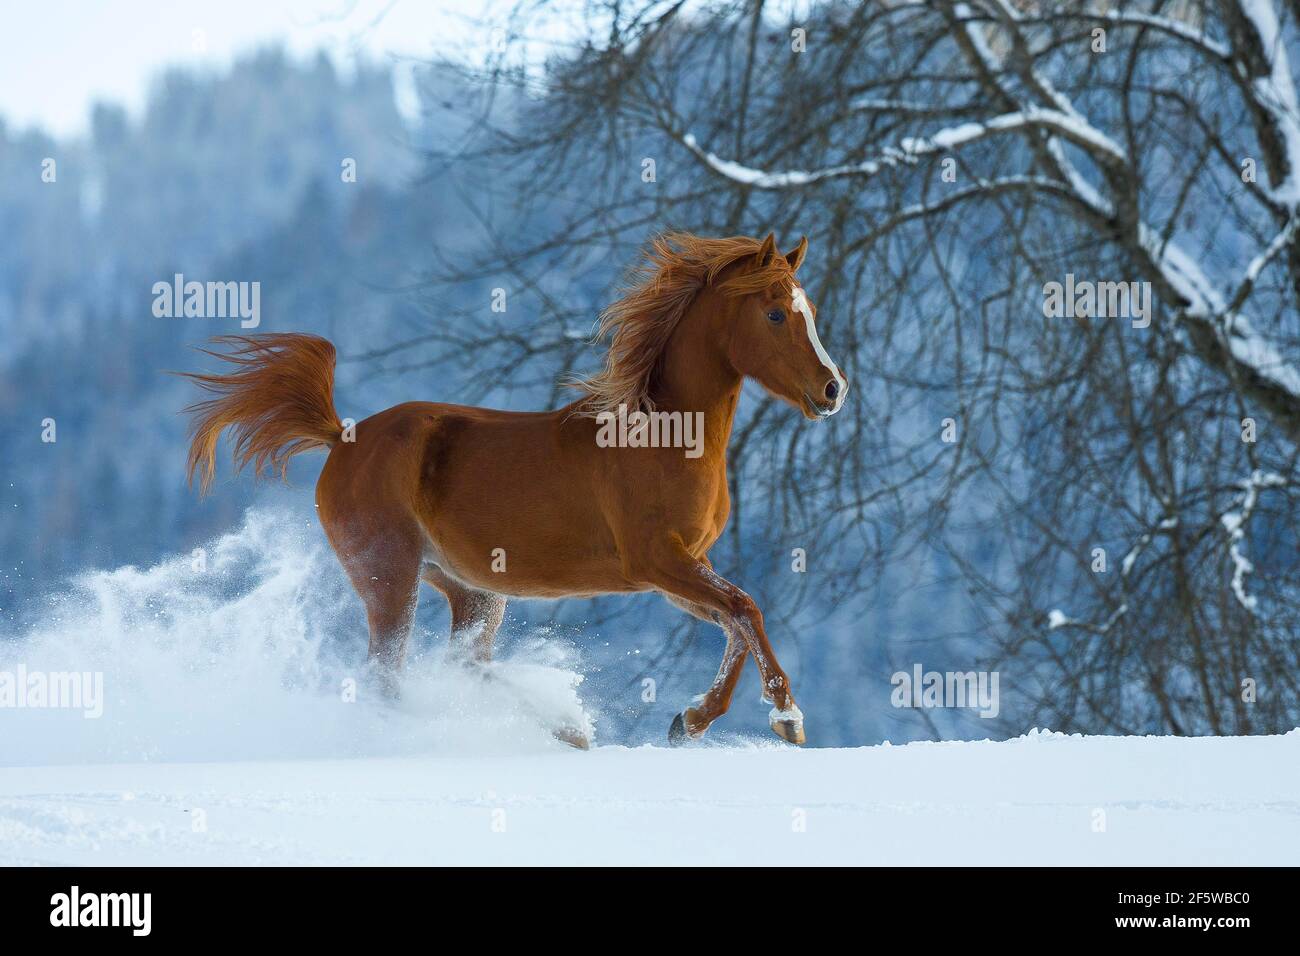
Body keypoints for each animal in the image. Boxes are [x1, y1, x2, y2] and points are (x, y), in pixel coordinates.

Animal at [180, 232, 847, 746]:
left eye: (810, 309)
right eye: (775, 313)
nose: (833, 389)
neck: (661, 435)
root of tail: (342, 436)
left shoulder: (681, 568)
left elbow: (735, 620)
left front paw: (689, 720)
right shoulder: (656, 560)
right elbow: (746, 609)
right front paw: (787, 718)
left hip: (472, 589)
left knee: (461, 667)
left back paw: (564, 730)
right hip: (389, 575)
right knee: (388, 676)